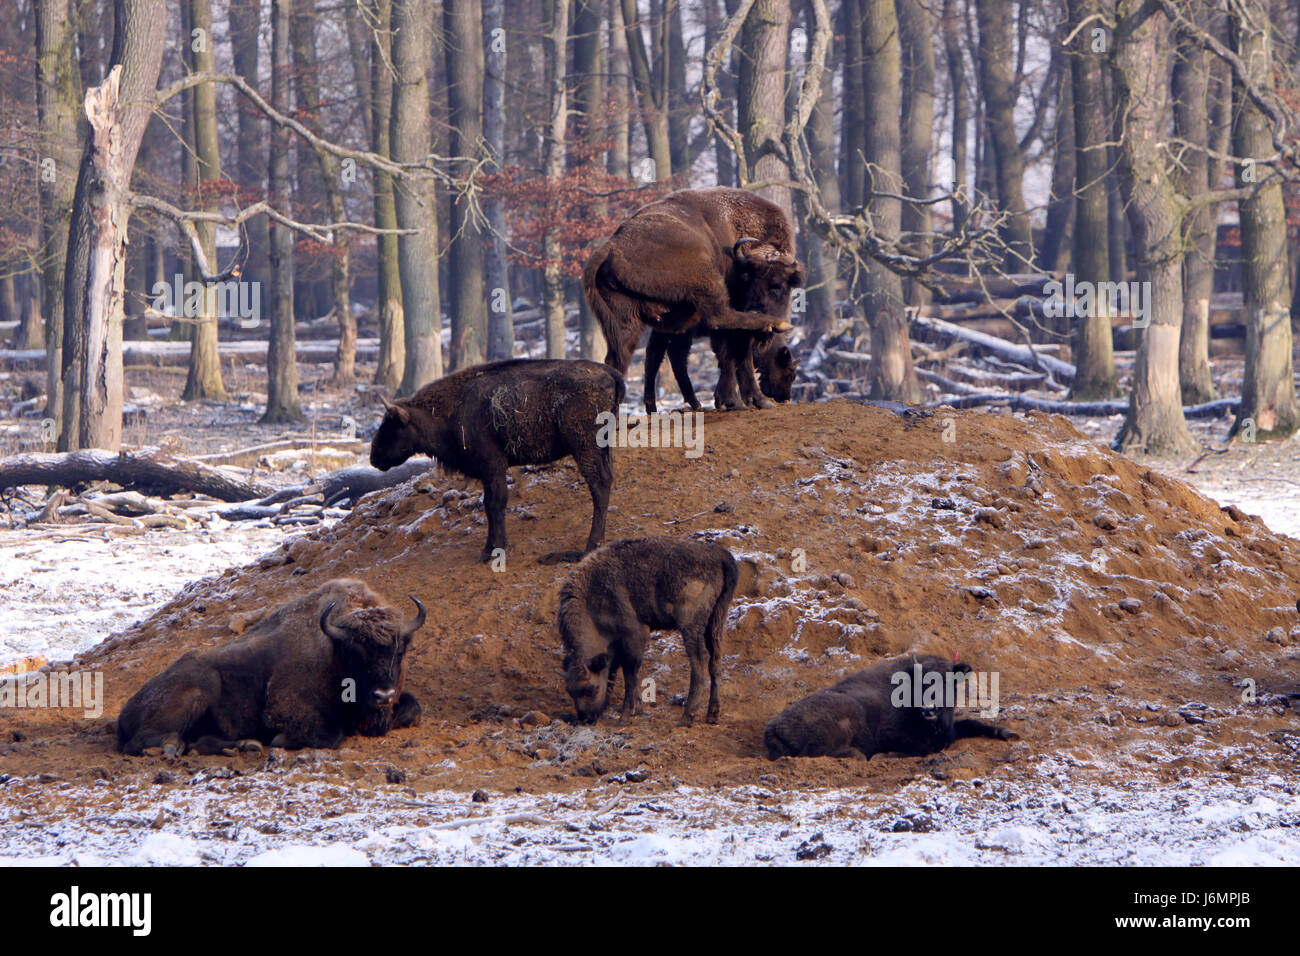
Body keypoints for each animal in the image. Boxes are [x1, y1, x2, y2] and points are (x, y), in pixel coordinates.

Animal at [116, 579, 425, 756]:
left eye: (399, 651)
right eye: (355, 654)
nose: (383, 696)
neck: (331, 650)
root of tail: (126, 709)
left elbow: (413, 708)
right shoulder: (285, 710)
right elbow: (328, 735)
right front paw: (278, 739)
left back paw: (243, 746)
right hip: (198, 689)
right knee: (140, 742)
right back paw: (172, 746)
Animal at [370, 358, 624, 563]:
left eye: (391, 426)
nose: (373, 457)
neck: (452, 407)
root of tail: (610, 373)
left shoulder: (492, 464)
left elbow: (495, 503)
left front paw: (492, 551)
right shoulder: (489, 471)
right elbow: (489, 505)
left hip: (584, 448)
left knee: (599, 485)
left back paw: (590, 546)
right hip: (601, 448)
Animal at [558, 537, 738, 726]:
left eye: (590, 689)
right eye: (570, 690)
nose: (585, 719)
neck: (590, 597)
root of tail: (720, 555)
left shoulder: (634, 634)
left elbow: (630, 674)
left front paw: (625, 716)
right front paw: (636, 709)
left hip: (690, 625)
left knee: (699, 664)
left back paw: (687, 716)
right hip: (716, 621)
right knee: (715, 662)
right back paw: (712, 714)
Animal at [583, 188, 804, 411]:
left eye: (777, 286)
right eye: (790, 374)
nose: (784, 397)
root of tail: (611, 247)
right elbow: (735, 355)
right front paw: (747, 400)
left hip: (626, 320)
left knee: (620, 359)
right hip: (704, 276)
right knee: (718, 317)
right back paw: (773, 324)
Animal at [763, 654, 1016, 760]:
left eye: (947, 681)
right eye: (922, 681)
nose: (928, 709)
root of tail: (773, 727)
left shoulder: (950, 729)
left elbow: (970, 724)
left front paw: (1006, 732)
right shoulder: (889, 734)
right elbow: (925, 748)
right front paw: (883, 756)